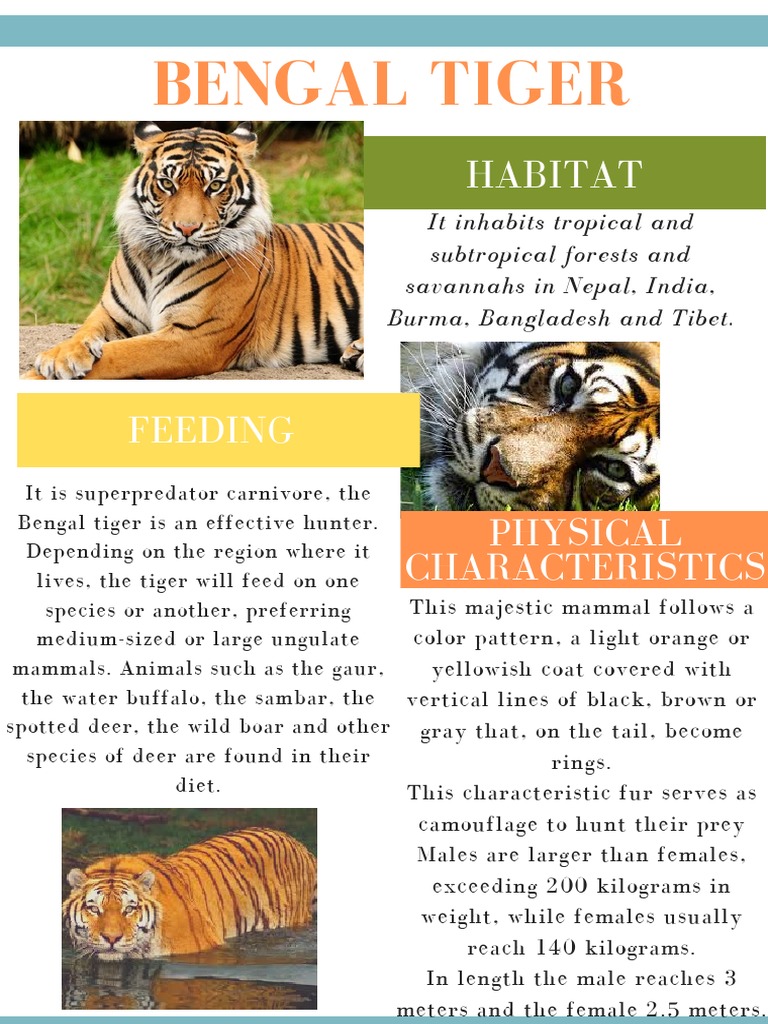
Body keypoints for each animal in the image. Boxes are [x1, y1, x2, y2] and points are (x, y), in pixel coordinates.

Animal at [25, 122, 363, 380]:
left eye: (215, 186)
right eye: (167, 183)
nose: (187, 229)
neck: (157, 259)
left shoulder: (196, 336)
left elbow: (120, 354)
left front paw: (35, 375)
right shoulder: (112, 313)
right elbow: (83, 332)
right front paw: (61, 356)